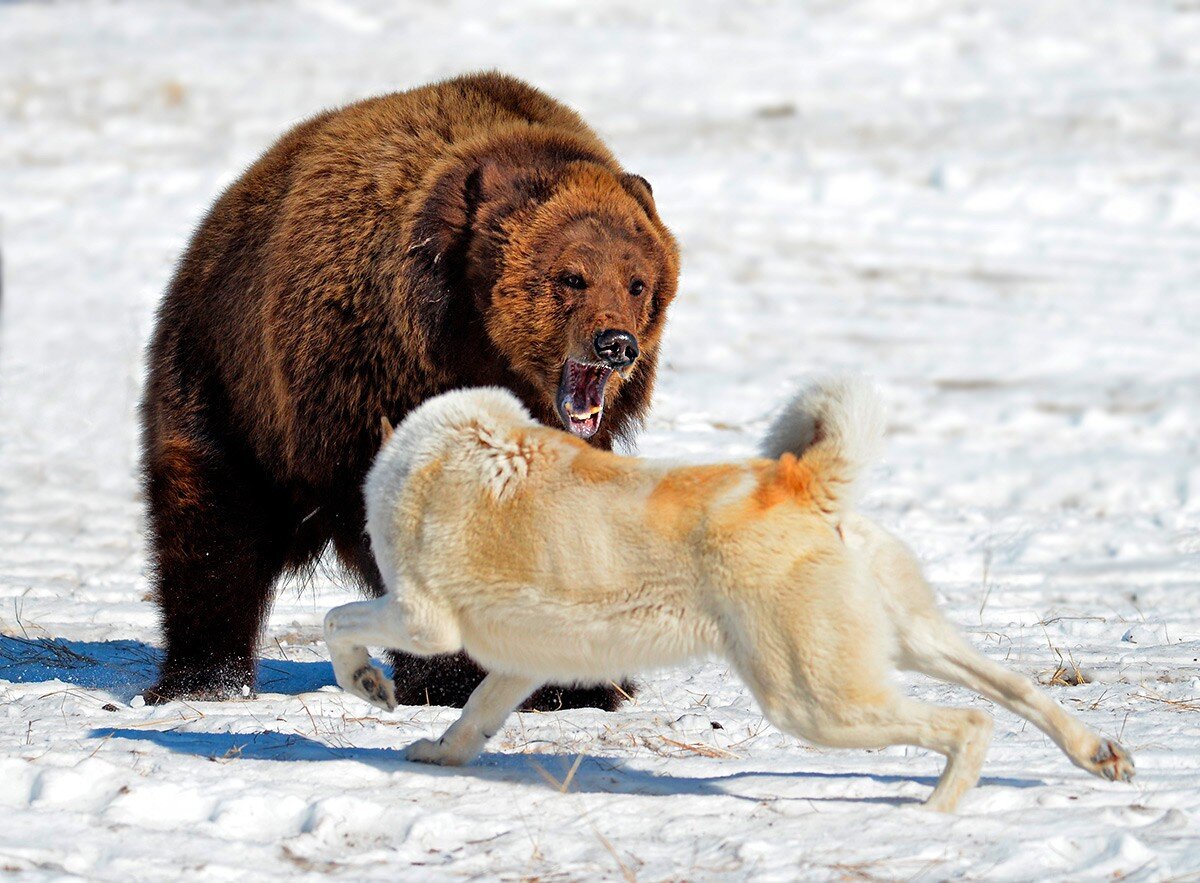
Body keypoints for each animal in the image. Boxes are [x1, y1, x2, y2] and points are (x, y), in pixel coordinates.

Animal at [140, 74, 681, 710]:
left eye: (638, 281)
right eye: (571, 276)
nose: (616, 343)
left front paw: (579, 680)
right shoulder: (369, 382)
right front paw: (455, 672)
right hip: (228, 381)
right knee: (213, 521)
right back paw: (203, 676)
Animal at [326, 376, 1132, 811]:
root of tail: (801, 483)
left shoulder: (423, 621)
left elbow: (338, 623)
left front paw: (368, 685)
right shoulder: (524, 663)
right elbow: (474, 719)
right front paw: (439, 755)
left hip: (812, 699)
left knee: (969, 722)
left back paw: (934, 813)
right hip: (904, 644)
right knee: (1015, 691)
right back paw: (1098, 754)